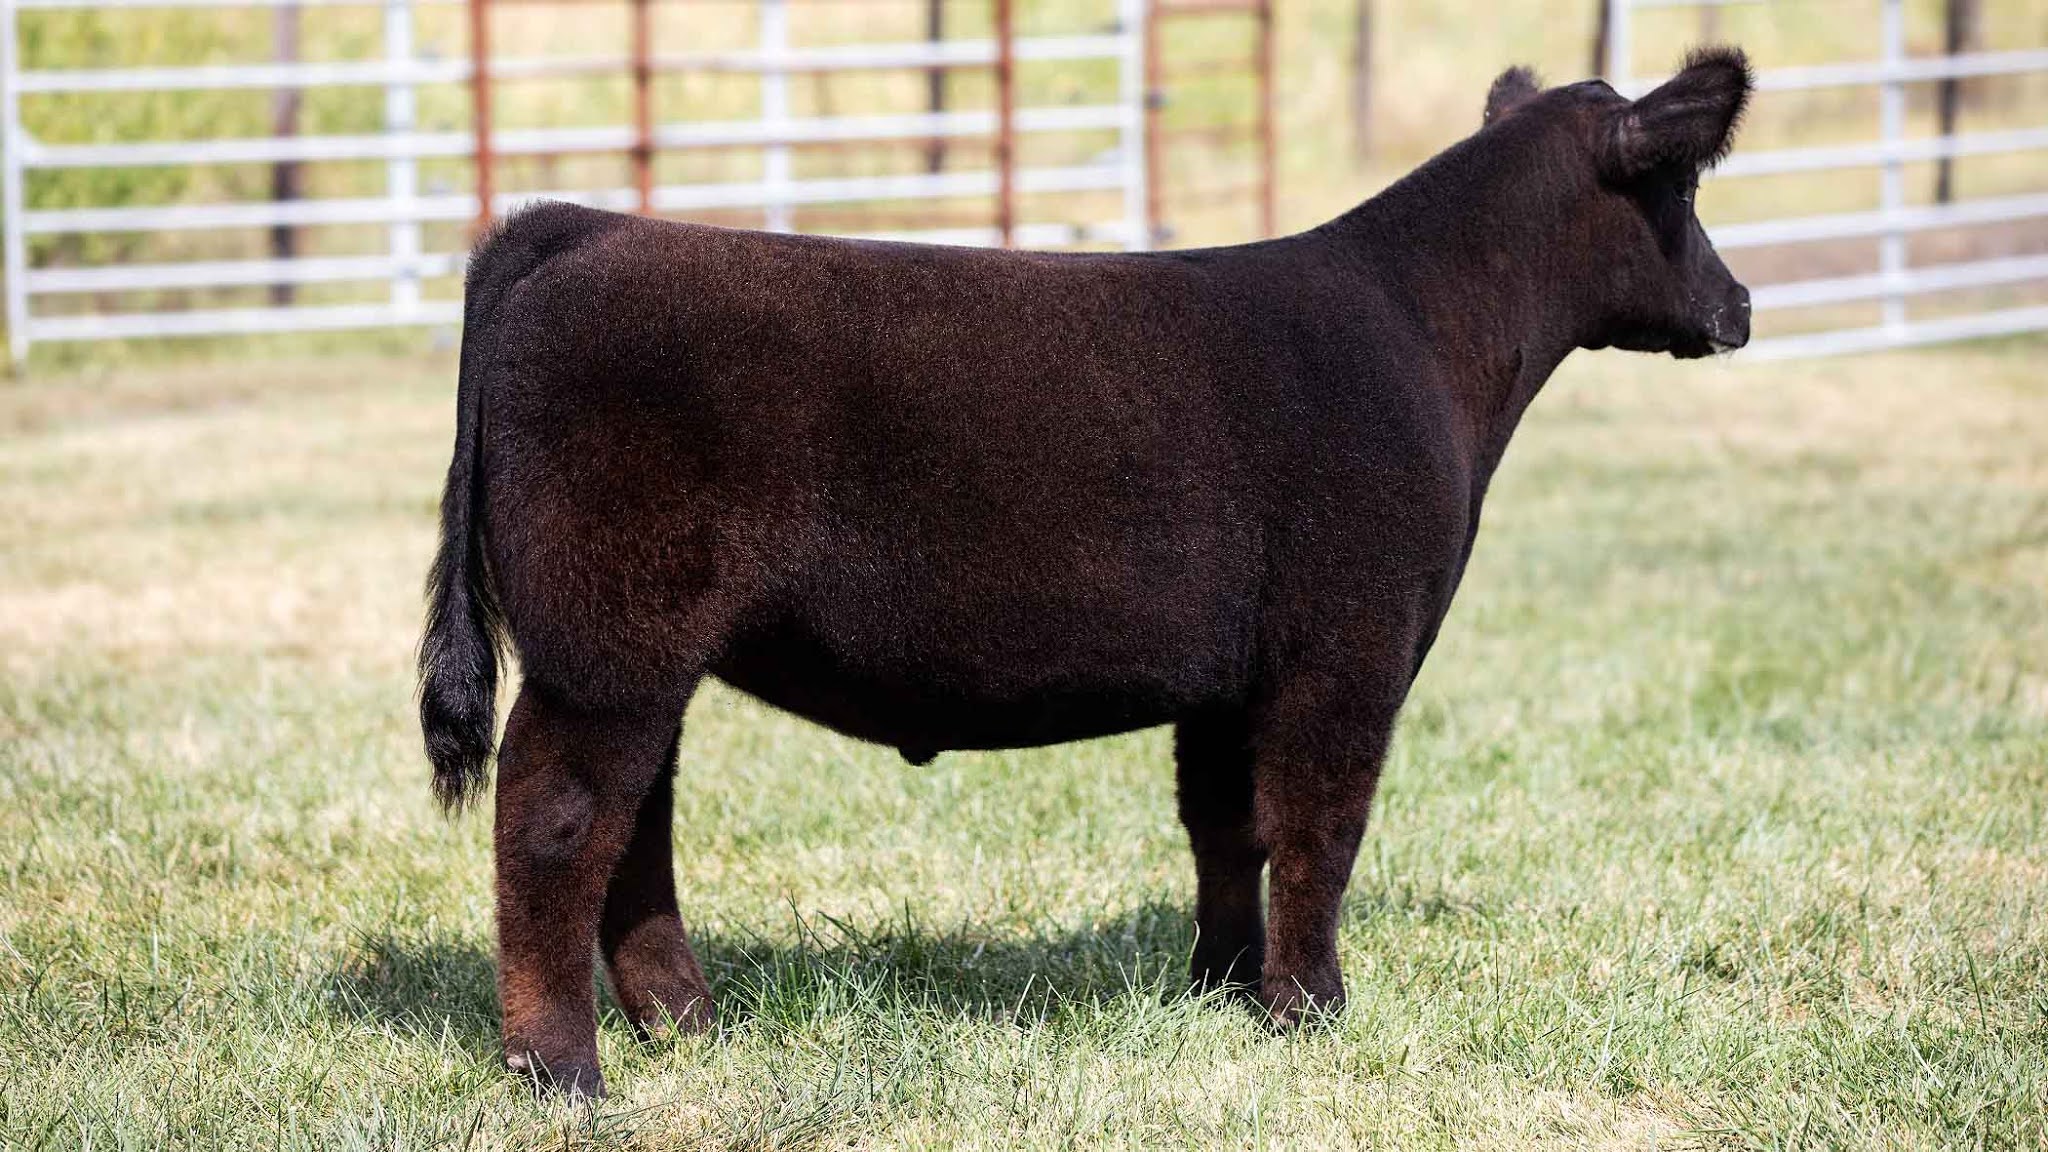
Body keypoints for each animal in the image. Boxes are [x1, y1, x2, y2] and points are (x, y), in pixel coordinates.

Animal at [418, 49, 1753, 1097]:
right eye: (1683, 188)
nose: (1739, 304)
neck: (1421, 331)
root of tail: (578, 228)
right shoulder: (1350, 647)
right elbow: (1319, 826)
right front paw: (1311, 1007)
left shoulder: (1231, 672)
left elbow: (1226, 826)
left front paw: (1224, 988)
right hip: (607, 644)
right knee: (557, 818)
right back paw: (561, 1067)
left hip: (643, 651)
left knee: (635, 824)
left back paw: (688, 1026)